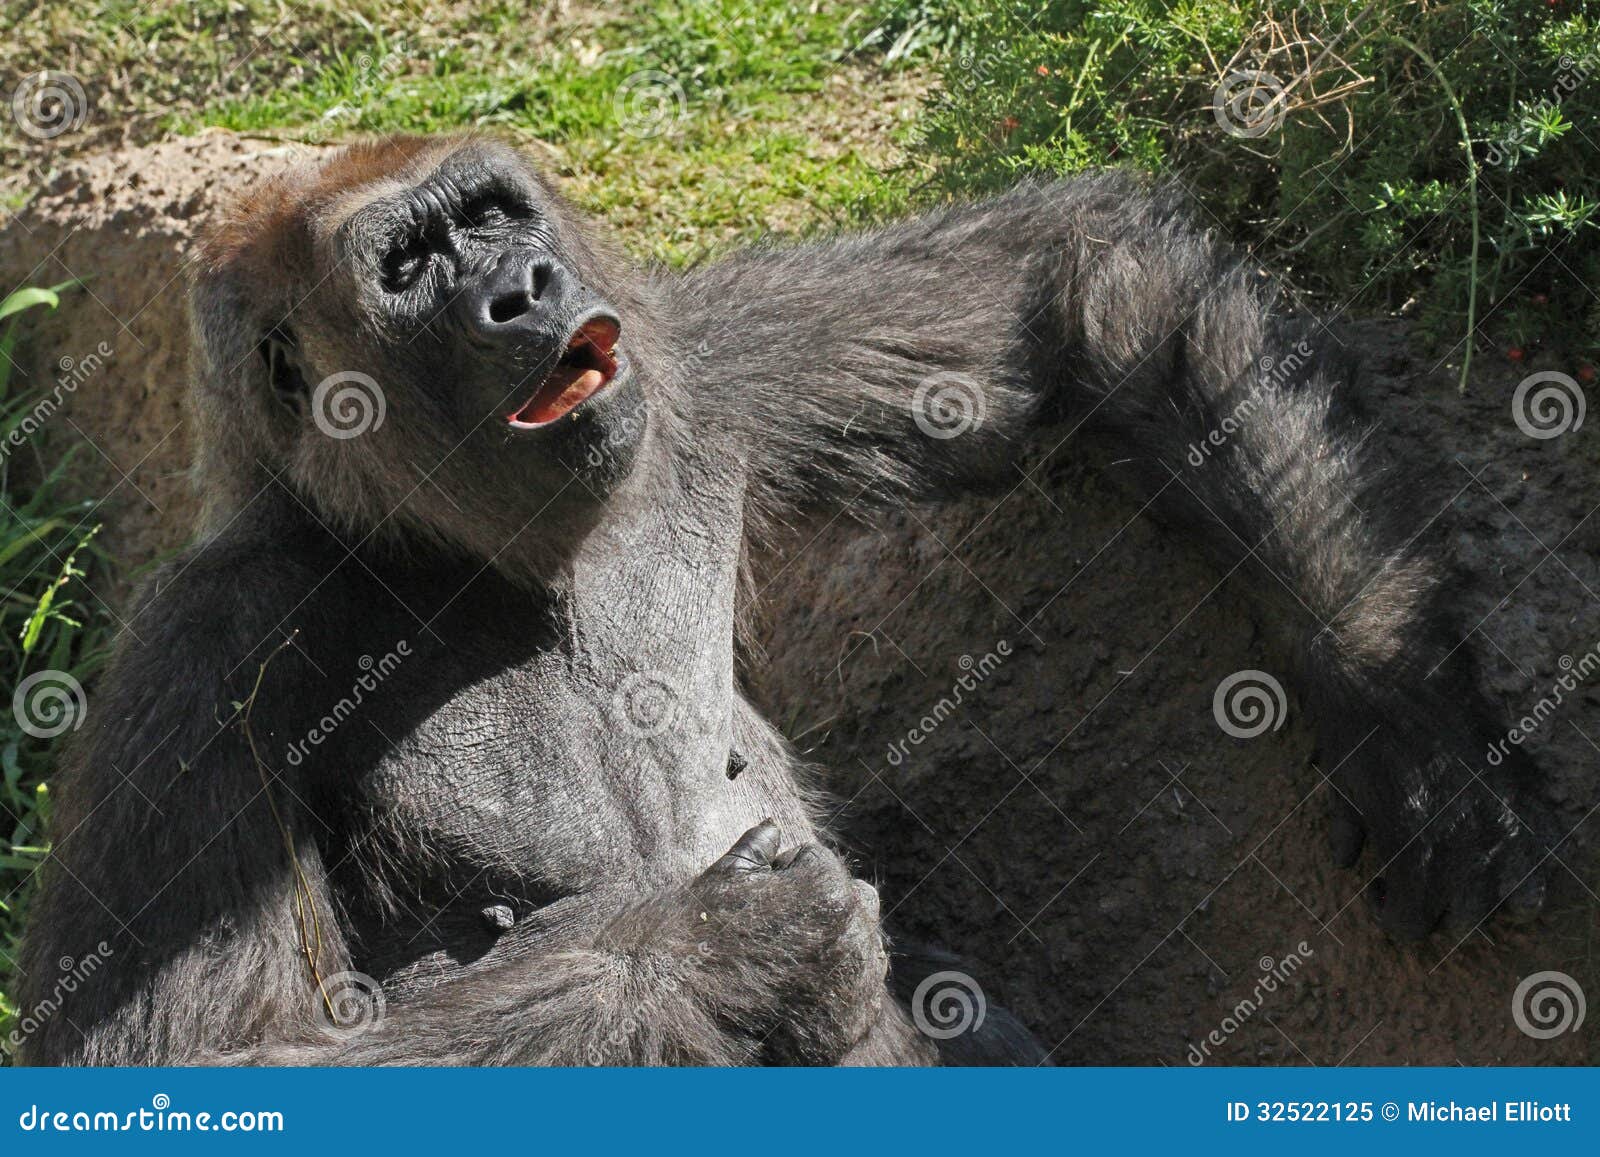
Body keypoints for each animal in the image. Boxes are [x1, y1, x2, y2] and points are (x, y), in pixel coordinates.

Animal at [16, 134, 1550, 1065]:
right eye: (409, 268)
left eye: (494, 219)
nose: (524, 287)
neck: (429, 546)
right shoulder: (204, 655)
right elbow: (180, 1057)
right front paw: (718, 951)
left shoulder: (693, 368)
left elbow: (1047, 284)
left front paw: (1400, 699)